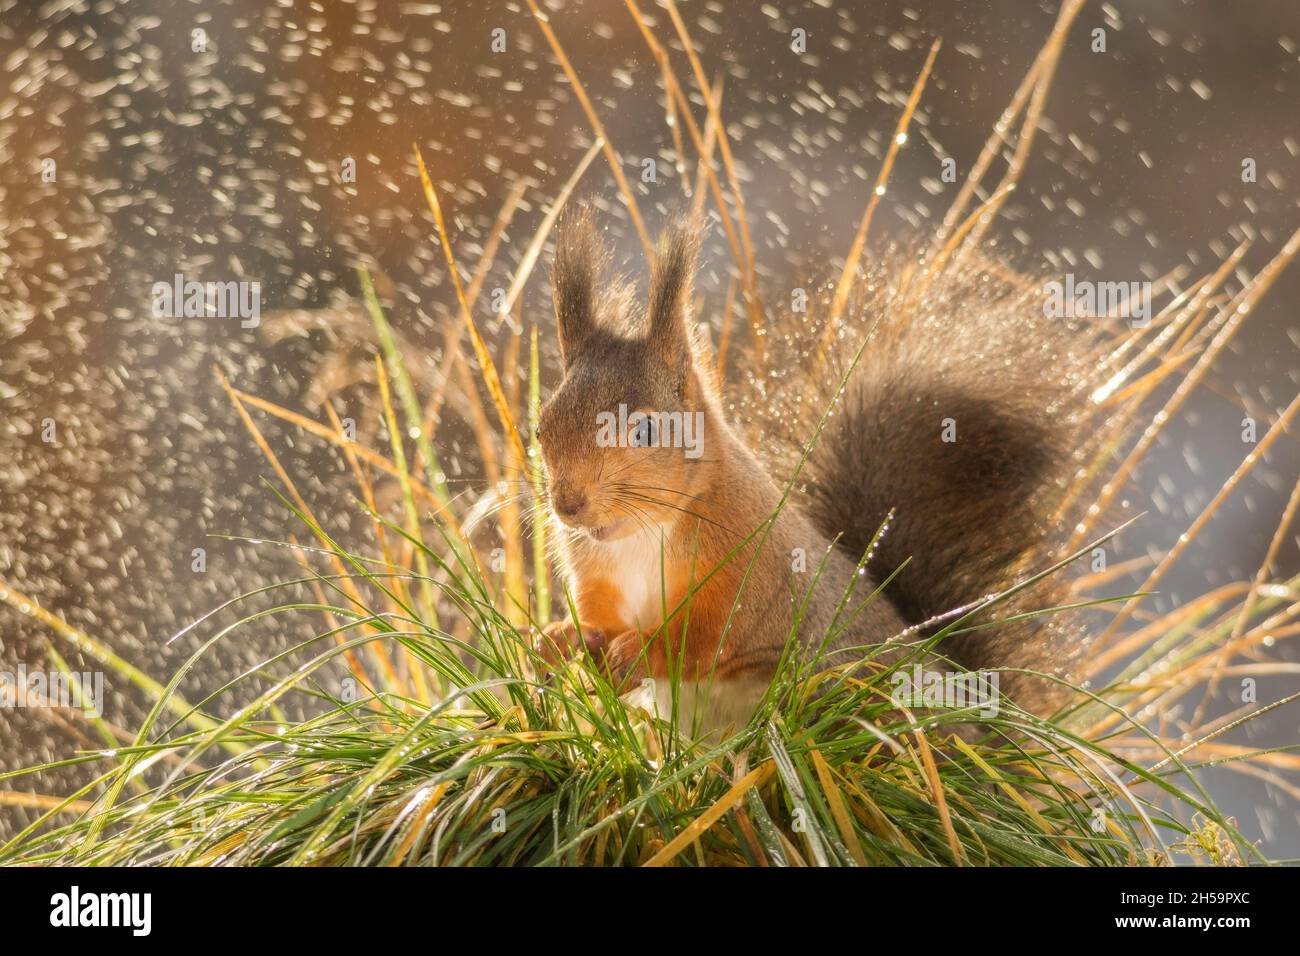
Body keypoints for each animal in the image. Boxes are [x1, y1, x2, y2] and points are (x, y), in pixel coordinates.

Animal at [533, 207, 1099, 730]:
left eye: (646, 431)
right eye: (541, 427)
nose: (567, 506)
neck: (641, 535)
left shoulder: (752, 574)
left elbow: (705, 640)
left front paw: (636, 652)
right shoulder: (597, 570)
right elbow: (599, 615)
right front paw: (562, 638)